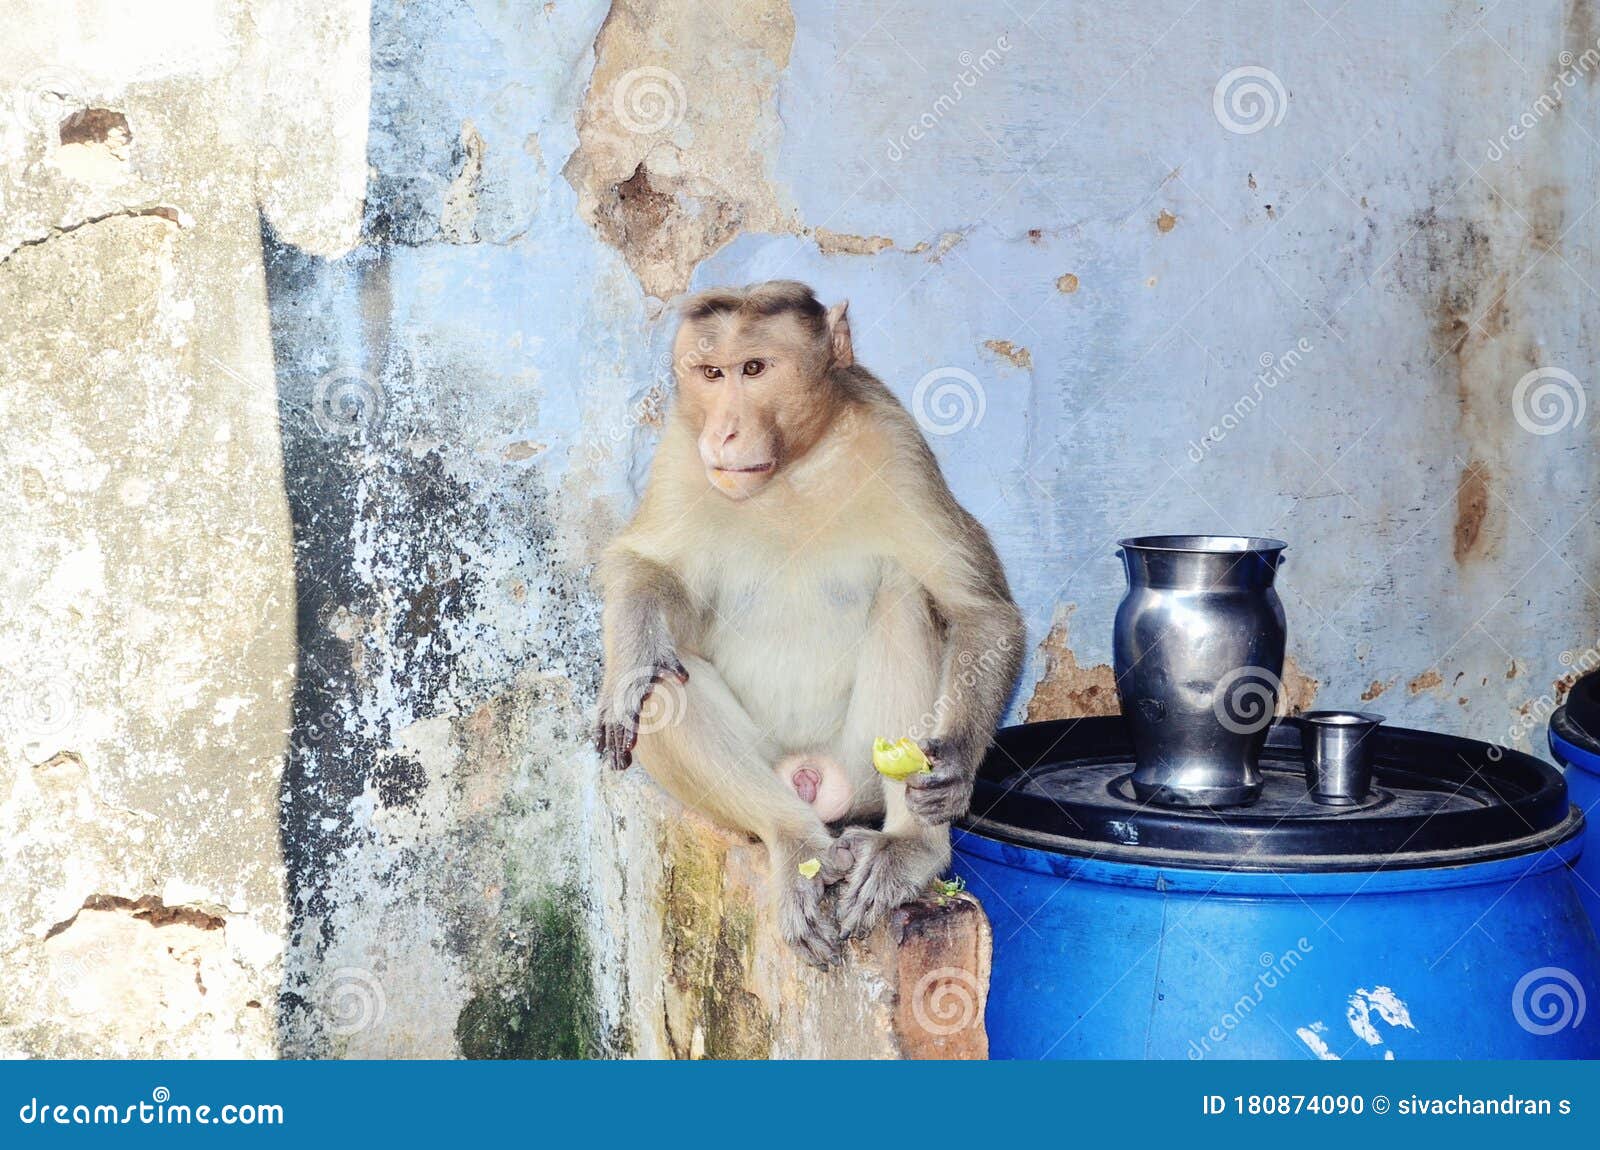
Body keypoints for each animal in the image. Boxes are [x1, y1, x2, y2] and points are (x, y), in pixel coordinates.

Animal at [595, 281, 1024, 967]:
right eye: (710, 373)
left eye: (753, 369)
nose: (724, 432)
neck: (793, 468)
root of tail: (810, 775)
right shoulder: (681, 455)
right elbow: (643, 566)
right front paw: (630, 664)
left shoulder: (898, 444)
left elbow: (978, 609)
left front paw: (956, 765)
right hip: (770, 769)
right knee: (662, 690)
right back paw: (796, 842)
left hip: (860, 771)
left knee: (904, 592)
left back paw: (909, 849)